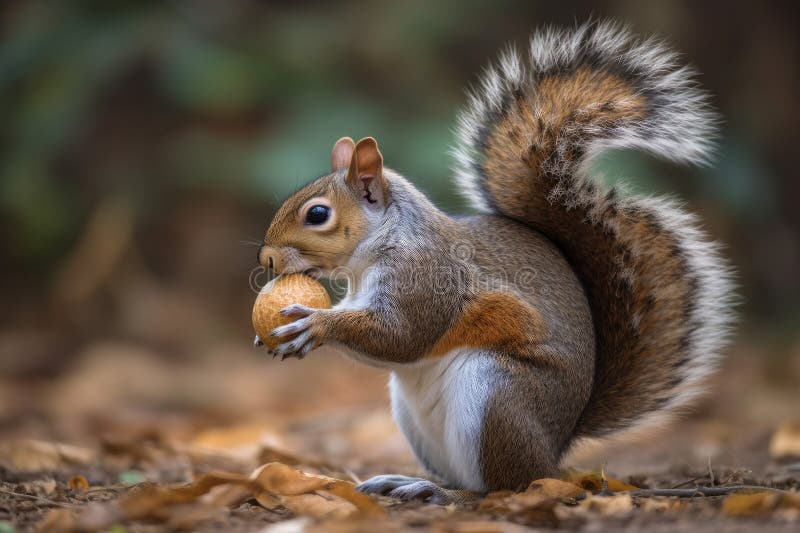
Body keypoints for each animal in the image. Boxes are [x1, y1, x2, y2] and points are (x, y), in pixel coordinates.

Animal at [255, 21, 735, 502]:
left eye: (318, 214)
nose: (267, 258)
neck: (381, 244)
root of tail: (557, 449)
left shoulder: (426, 275)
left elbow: (402, 336)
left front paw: (315, 324)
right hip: (418, 419)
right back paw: (411, 482)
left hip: (496, 395)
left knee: (506, 485)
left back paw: (445, 494)